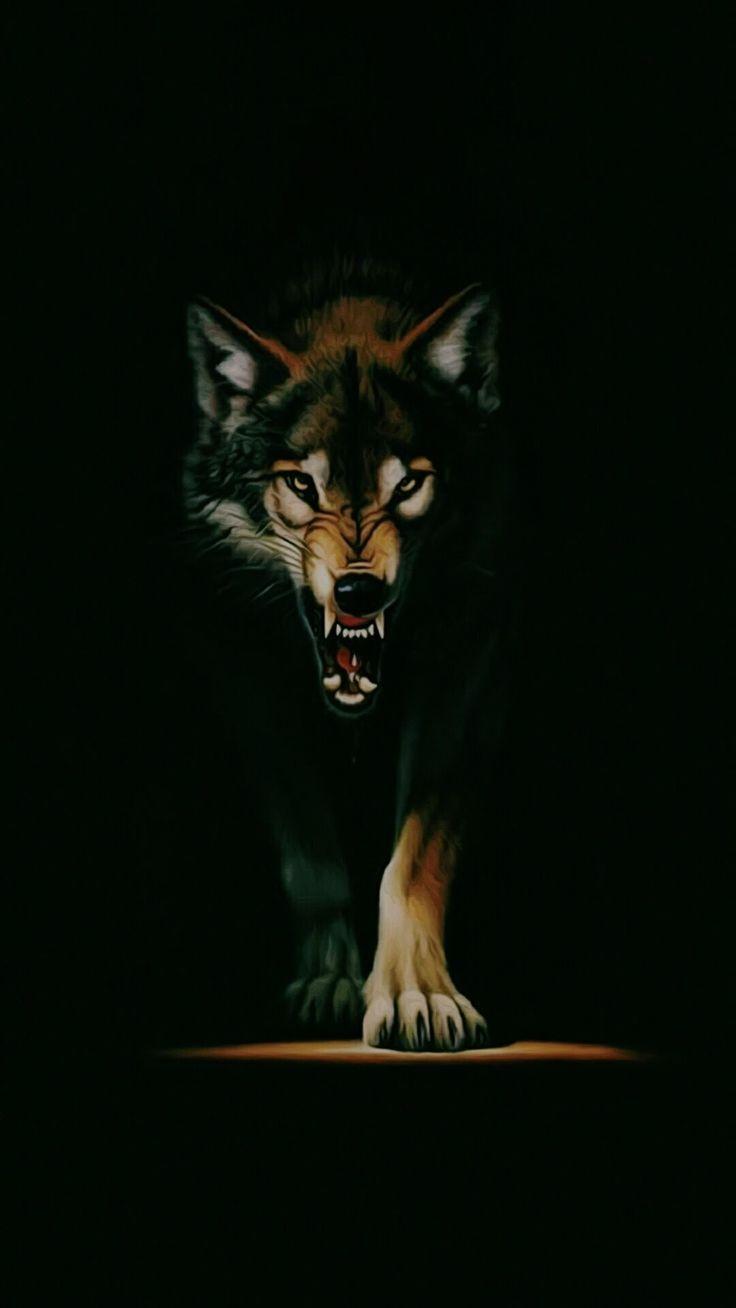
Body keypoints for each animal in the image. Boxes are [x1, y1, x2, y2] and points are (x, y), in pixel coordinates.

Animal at [185, 261, 511, 1050]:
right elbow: (311, 852)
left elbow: (412, 859)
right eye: (302, 484)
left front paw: (419, 993)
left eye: (409, 483)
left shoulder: (467, 663)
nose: (360, 590)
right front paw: (330, 980)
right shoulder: (239, 664)